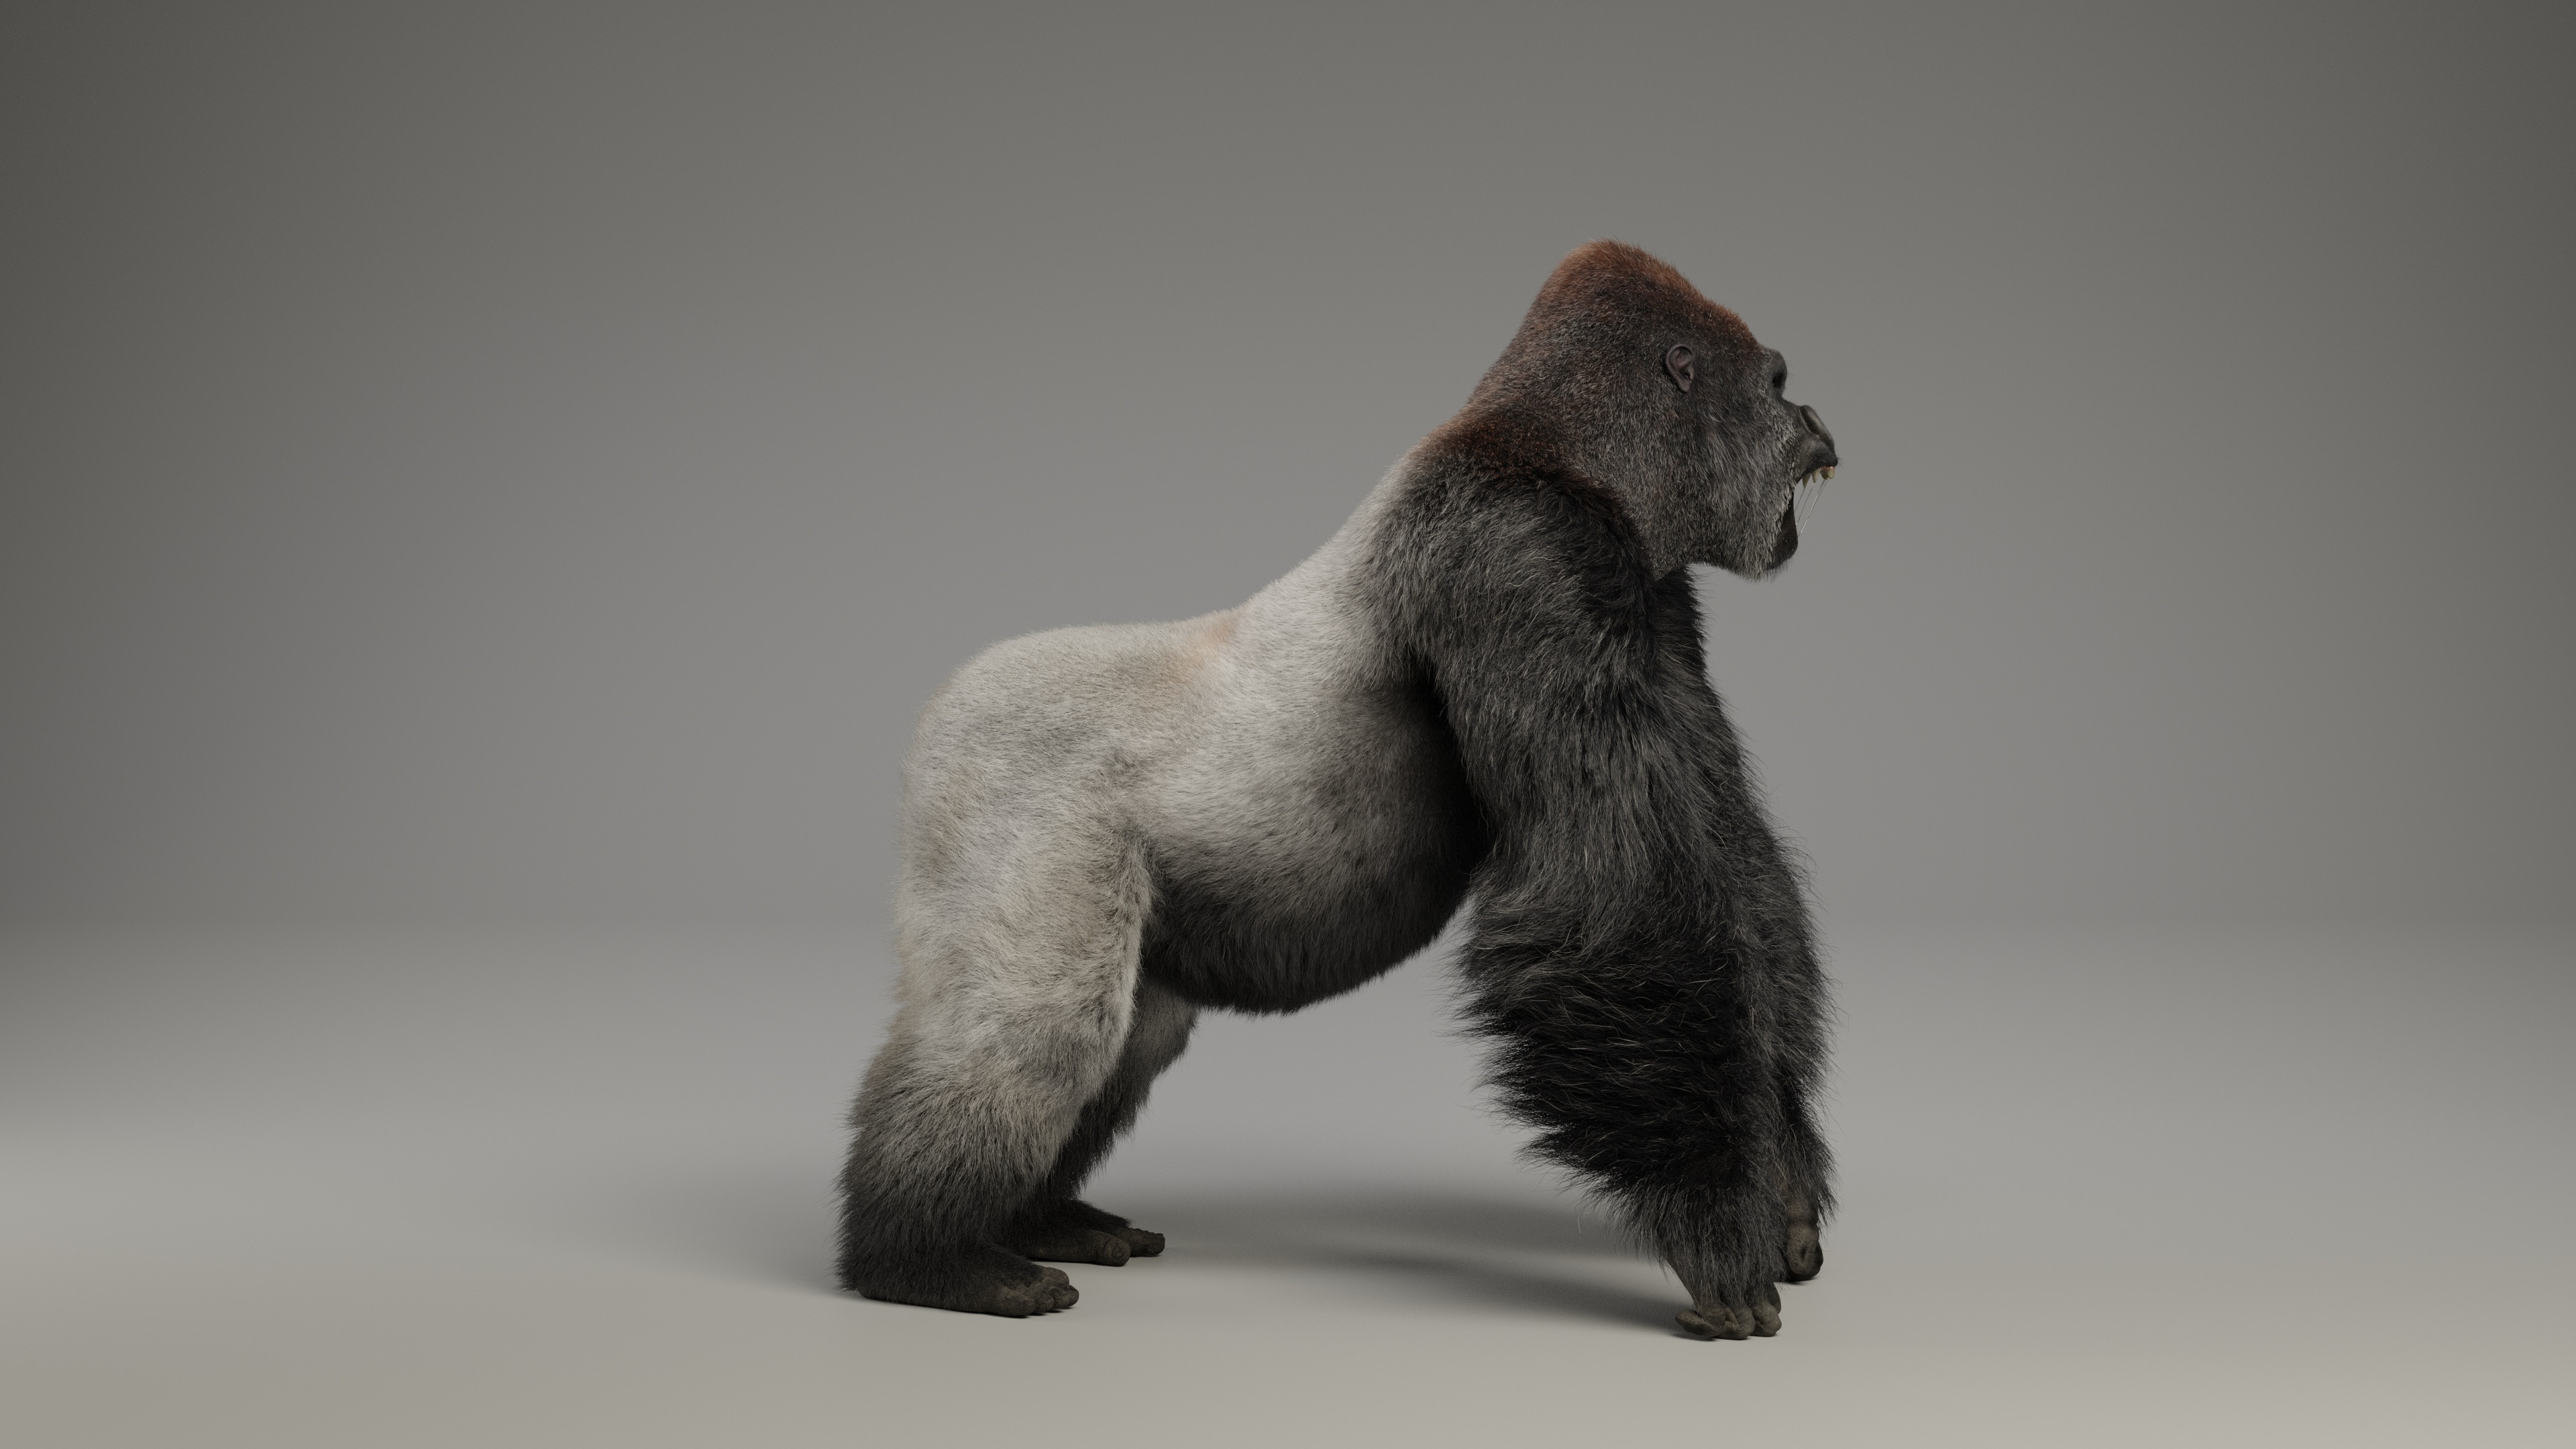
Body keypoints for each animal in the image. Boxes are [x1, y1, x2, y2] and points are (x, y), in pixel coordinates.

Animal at [837, 240, 1840, 1340]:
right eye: (1776, 383)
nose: (1817, 421)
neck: (1555, 444)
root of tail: (940, 709)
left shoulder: (1651, 599)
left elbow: (1727, 865)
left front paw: (1782, 1179)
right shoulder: (1521, 551)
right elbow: (1609, 900)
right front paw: (1715, 1221)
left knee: (1125, 1031)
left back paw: (1039, 1219)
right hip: (986, 778)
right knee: (1036, 1027)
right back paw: (925, 1259)